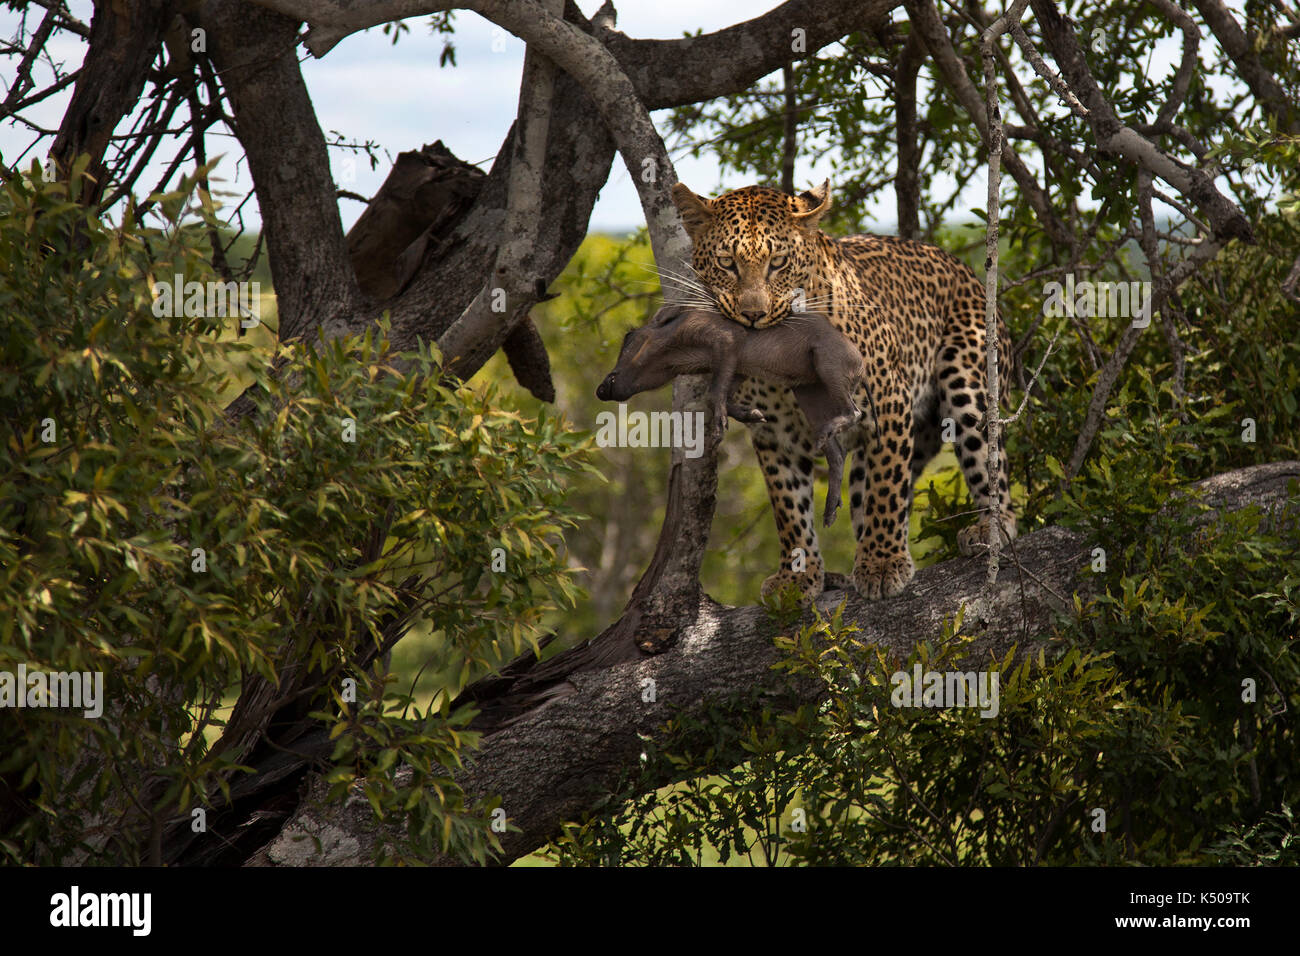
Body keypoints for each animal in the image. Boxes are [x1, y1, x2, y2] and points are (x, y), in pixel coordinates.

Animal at [669, 179, 1017, 601]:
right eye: (726, 263)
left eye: (778, 263)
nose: (753, 316)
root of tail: (965, 269)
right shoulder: (773, 434)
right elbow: (789, 507)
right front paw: (797, 576)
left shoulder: (888, 401)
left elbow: (887, 488)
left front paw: (883, 563)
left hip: (969, 385)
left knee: (991, 470)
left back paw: (988, 527)